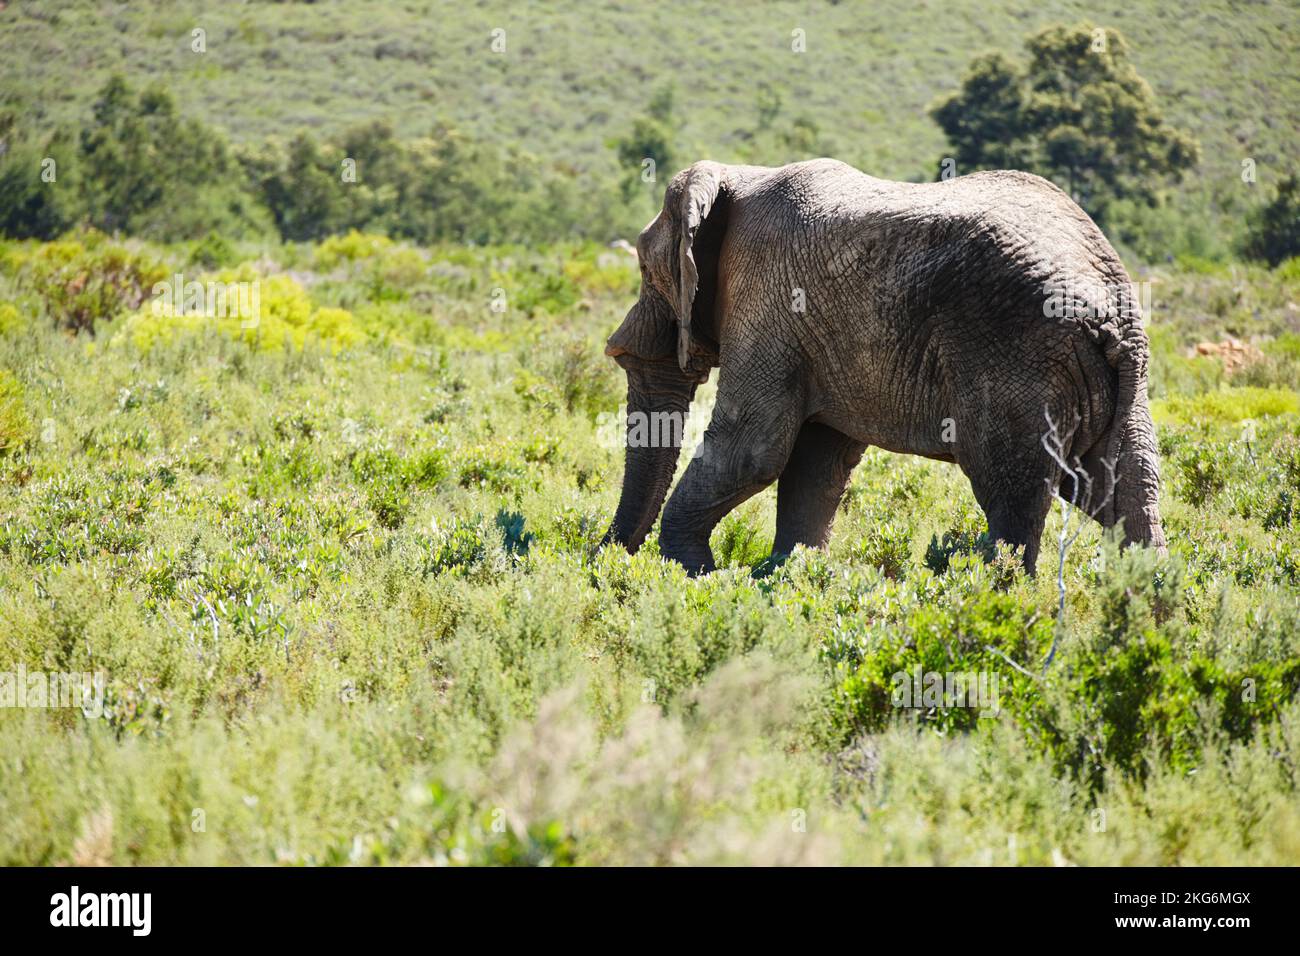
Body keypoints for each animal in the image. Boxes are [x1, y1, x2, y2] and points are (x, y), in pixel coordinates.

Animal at [602, 158, 1167, 575]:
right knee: (1128, 494)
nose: (603, 556)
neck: (739, 176)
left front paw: (692, 573)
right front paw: (784, 577)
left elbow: (753, 449)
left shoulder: (769, 300)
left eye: (646, 270)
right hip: (1114, 381)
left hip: (1019, 361)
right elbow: (816, 462)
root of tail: (1113, 307)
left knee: (1012, 502)